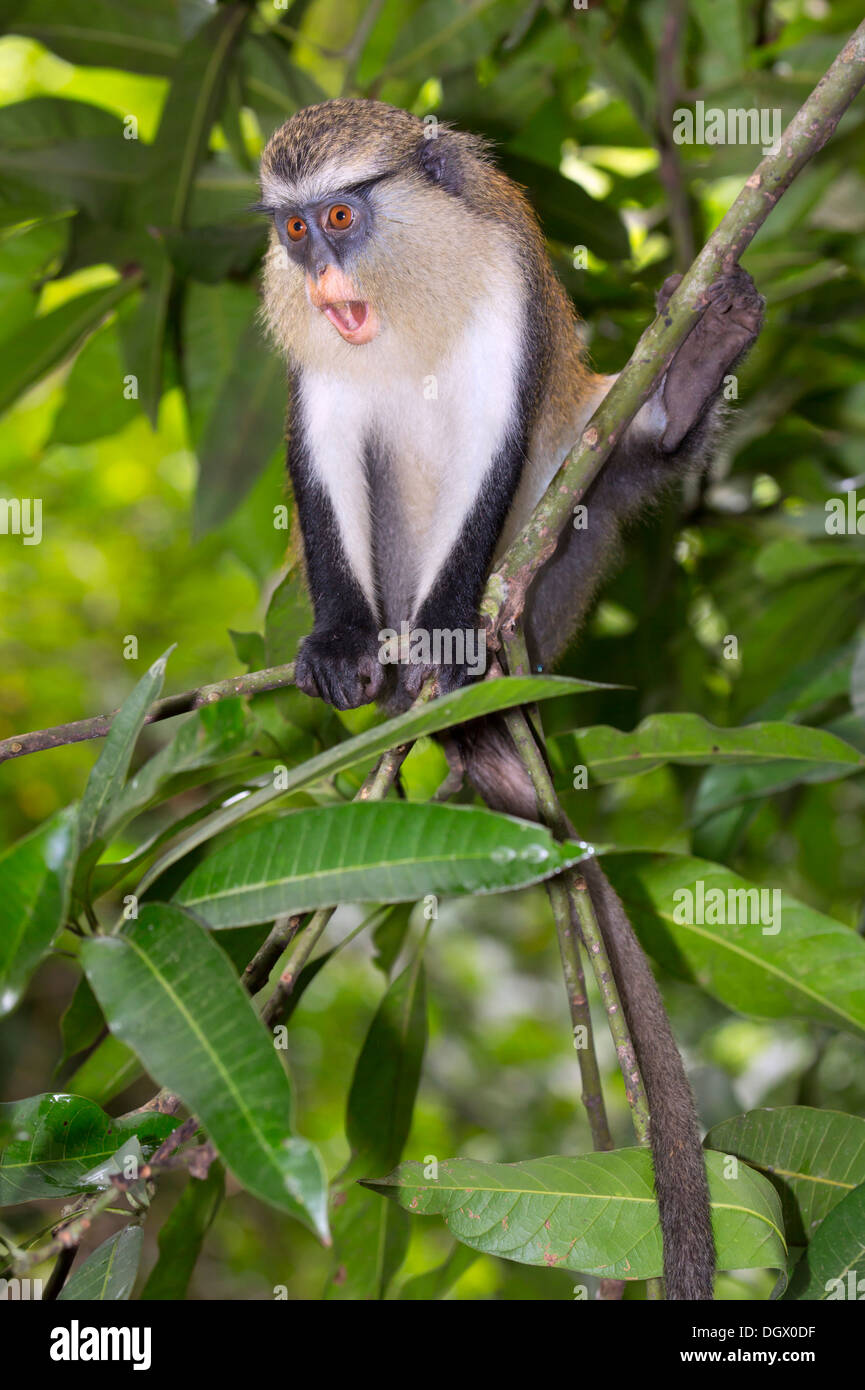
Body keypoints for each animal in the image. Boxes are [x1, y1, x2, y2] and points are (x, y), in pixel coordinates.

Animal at [257, 98, 764, 1300]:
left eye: (341, 217)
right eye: (293, 228)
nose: (317, 278)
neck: (401, 294)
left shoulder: (497, 286)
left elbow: (494, 434)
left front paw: (450, 633)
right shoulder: (319, 364)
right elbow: (328, 444)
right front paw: (338, 643)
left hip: (561, 547)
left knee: (595, 460)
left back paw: (680, 389)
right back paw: (401, 676)